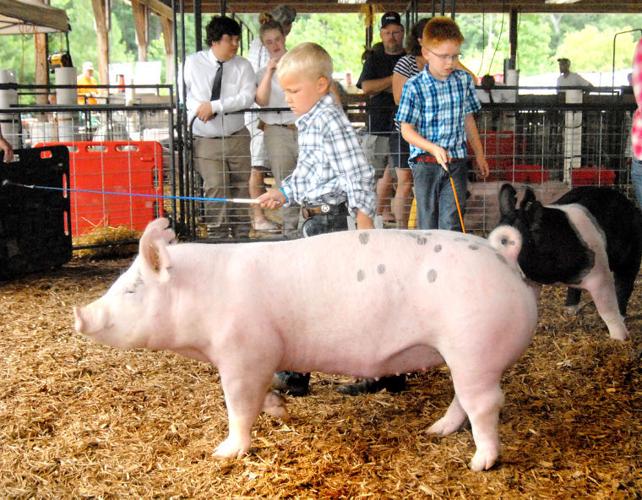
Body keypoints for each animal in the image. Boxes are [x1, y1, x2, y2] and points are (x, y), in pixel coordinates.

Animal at [74, 218, 538, 471]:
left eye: (131, 289)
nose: (80, 313)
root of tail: (503, 257)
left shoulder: (243, 354)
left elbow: (238, 407)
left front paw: (224, 452)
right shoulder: (261, 360)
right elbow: (261, 397)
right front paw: (280, 410)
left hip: (473, 346)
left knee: (486, 403)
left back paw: (481, 463)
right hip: (465, 357)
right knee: (463, 399)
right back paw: (436, 431)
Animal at [497, 183, 642, 341]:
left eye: (509, 242)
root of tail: (630, 205)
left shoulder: (601, 276)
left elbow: (607, 310)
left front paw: (619, 339)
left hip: (631, 256)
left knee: (624, 285)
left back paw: (621, 316)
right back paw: (569, 311)